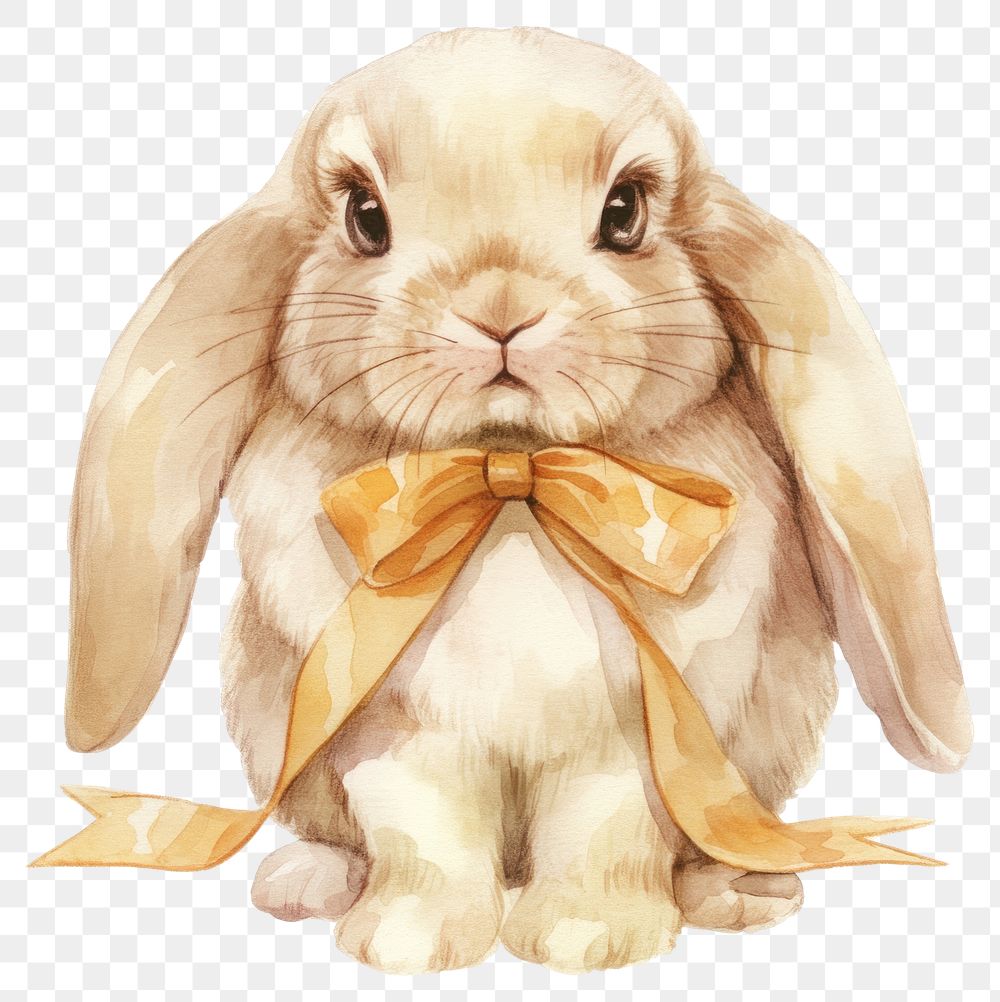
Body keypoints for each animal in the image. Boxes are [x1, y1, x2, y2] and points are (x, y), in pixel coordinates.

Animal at [65, 27, 971, 973]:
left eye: (626, 213)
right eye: (364, 217)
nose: (500, 310)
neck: (511, 480)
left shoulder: (631, 739)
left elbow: (605, 833)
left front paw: (588, 938)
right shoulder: (394, 733)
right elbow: (423, 835)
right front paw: (408, 941)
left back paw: (739, 893)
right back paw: (306, 882)